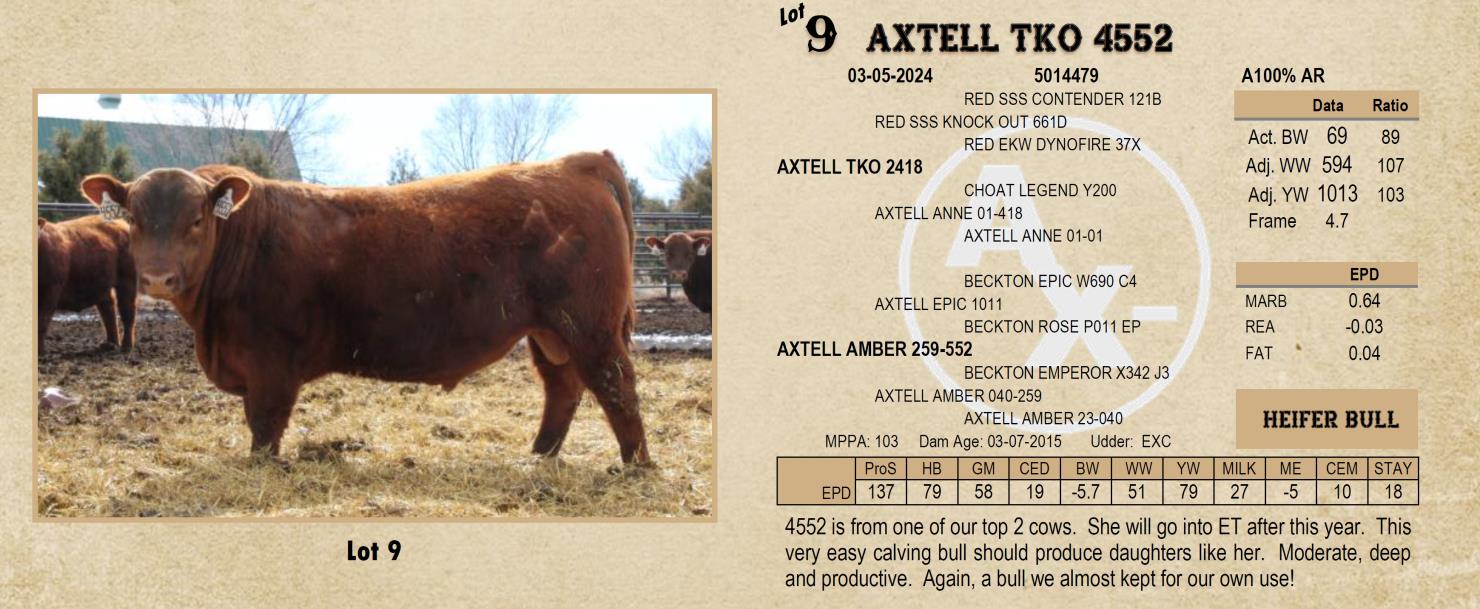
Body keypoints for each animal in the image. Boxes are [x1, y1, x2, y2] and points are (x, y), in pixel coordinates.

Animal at [37, 215, 138, 354]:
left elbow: (42, 319)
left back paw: (126, 346)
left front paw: (40, 352)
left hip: (128, 279)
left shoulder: (52, 288)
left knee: (127, 309)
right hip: (101, 283)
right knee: (108, 309)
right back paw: (110, 344)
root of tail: (121, 223)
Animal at [78, 150, 650, 464]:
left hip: (590, 326)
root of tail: (575, 162)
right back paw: (539, 456)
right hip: (550, 331)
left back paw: (637, 466)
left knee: (615, 385)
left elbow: (265, 423)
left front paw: (263, 465)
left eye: (196, 220)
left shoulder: (270, 362)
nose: (157, 277)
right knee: (564, 386)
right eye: (132, 219)